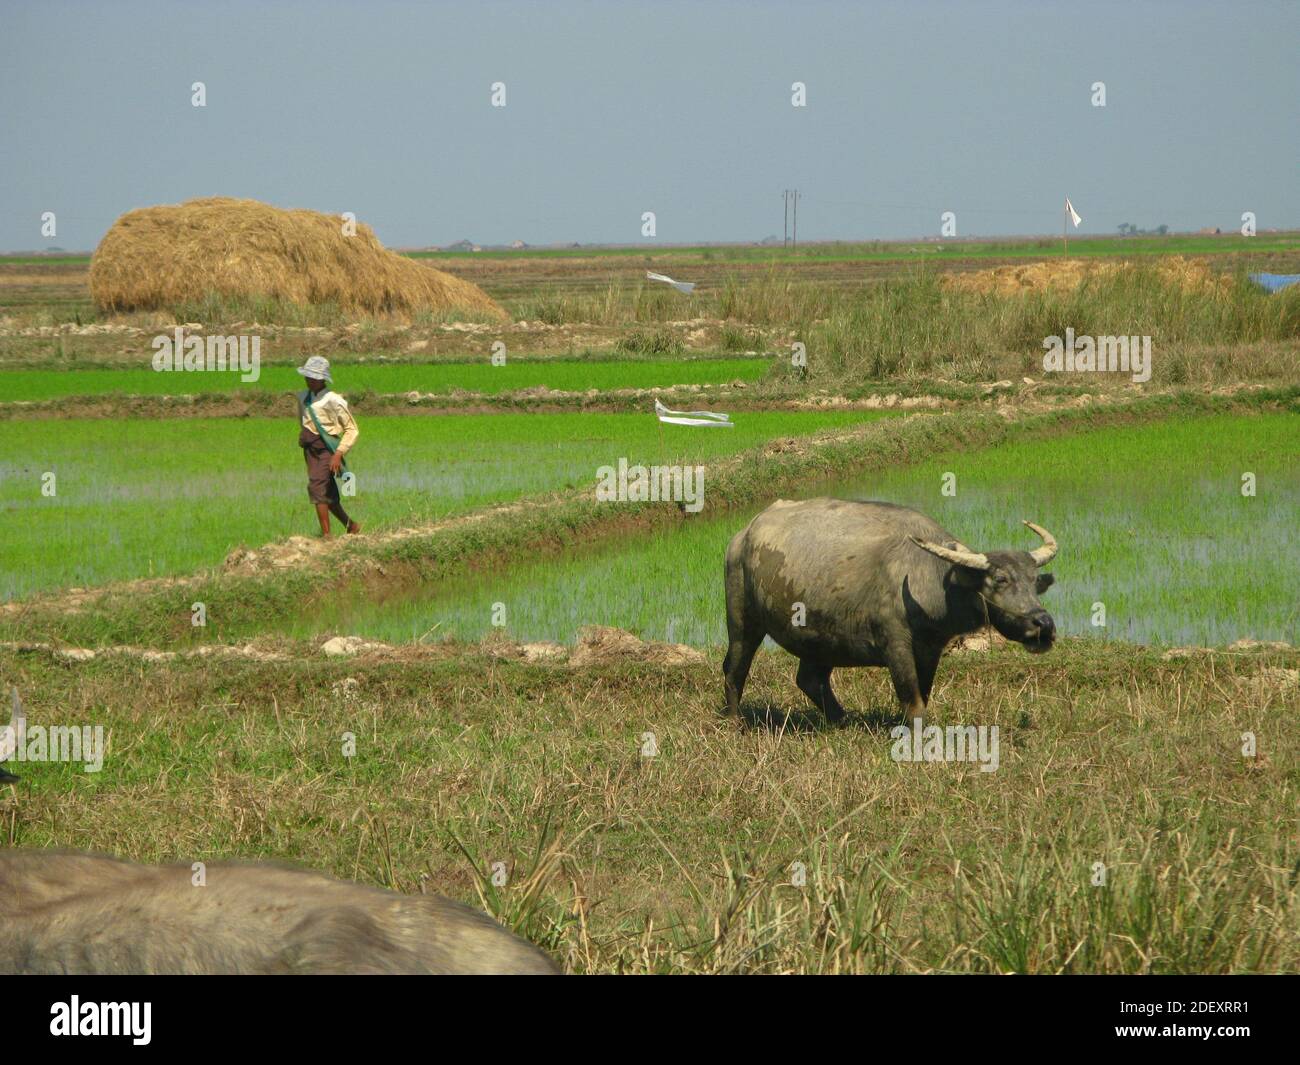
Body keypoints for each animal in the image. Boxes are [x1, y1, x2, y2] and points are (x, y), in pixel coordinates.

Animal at [723, 498, 1058, 724]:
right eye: (1000, 579)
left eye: (1033, 581)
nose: (1043, 624)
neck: (928, 578)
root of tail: (743, 535)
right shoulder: (895, 646)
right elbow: (912, 700)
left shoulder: (930, 650)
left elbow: (923, 694)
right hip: (742, 621)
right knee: (735, 667)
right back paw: (735, 721)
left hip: (820, 638)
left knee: (809, 679)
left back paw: (841, 720)